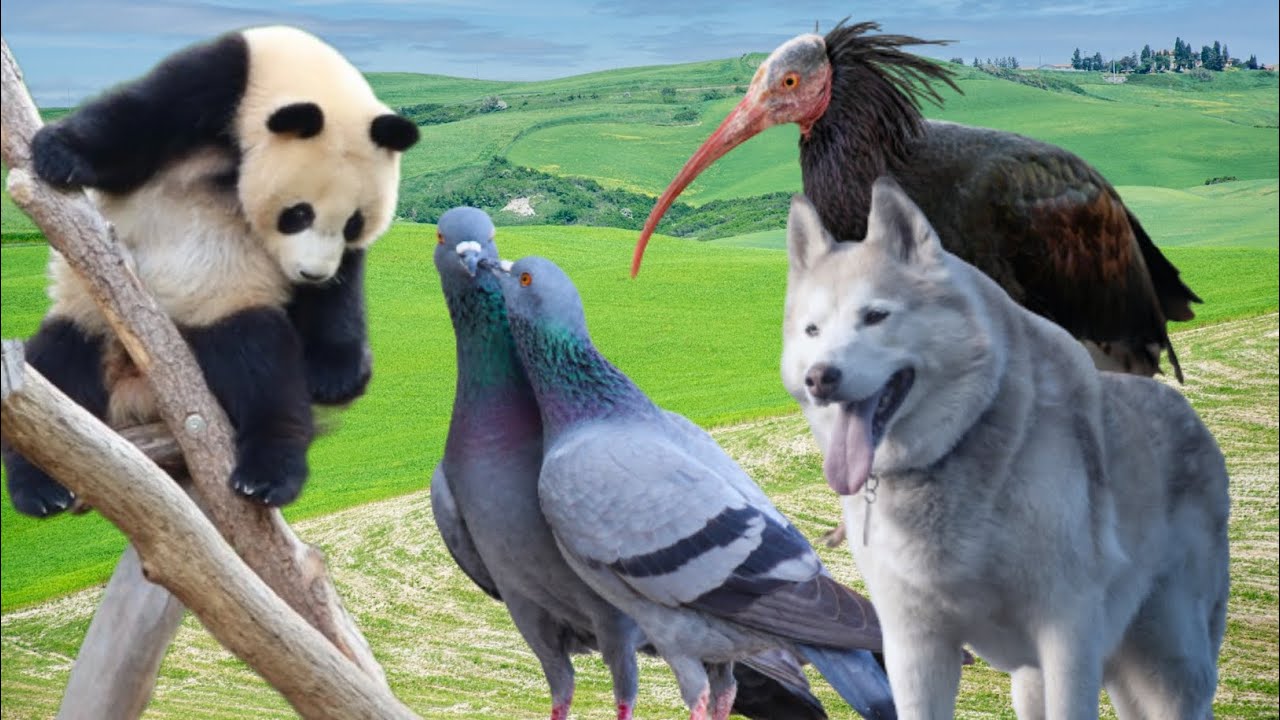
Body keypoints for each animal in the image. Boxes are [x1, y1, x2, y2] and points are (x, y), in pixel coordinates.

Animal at [2, 26, 420, 517]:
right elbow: (135, 126)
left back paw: (267, 475)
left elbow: (339, 293)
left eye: (354, 223)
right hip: (90, 317)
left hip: (226, 308)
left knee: (262, 368)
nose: (310, 273)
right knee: (58, 365)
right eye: (298, 214)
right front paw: (57, 152)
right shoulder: (219, 78)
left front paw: (337, 375)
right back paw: (40, 487)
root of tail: (141, 399)